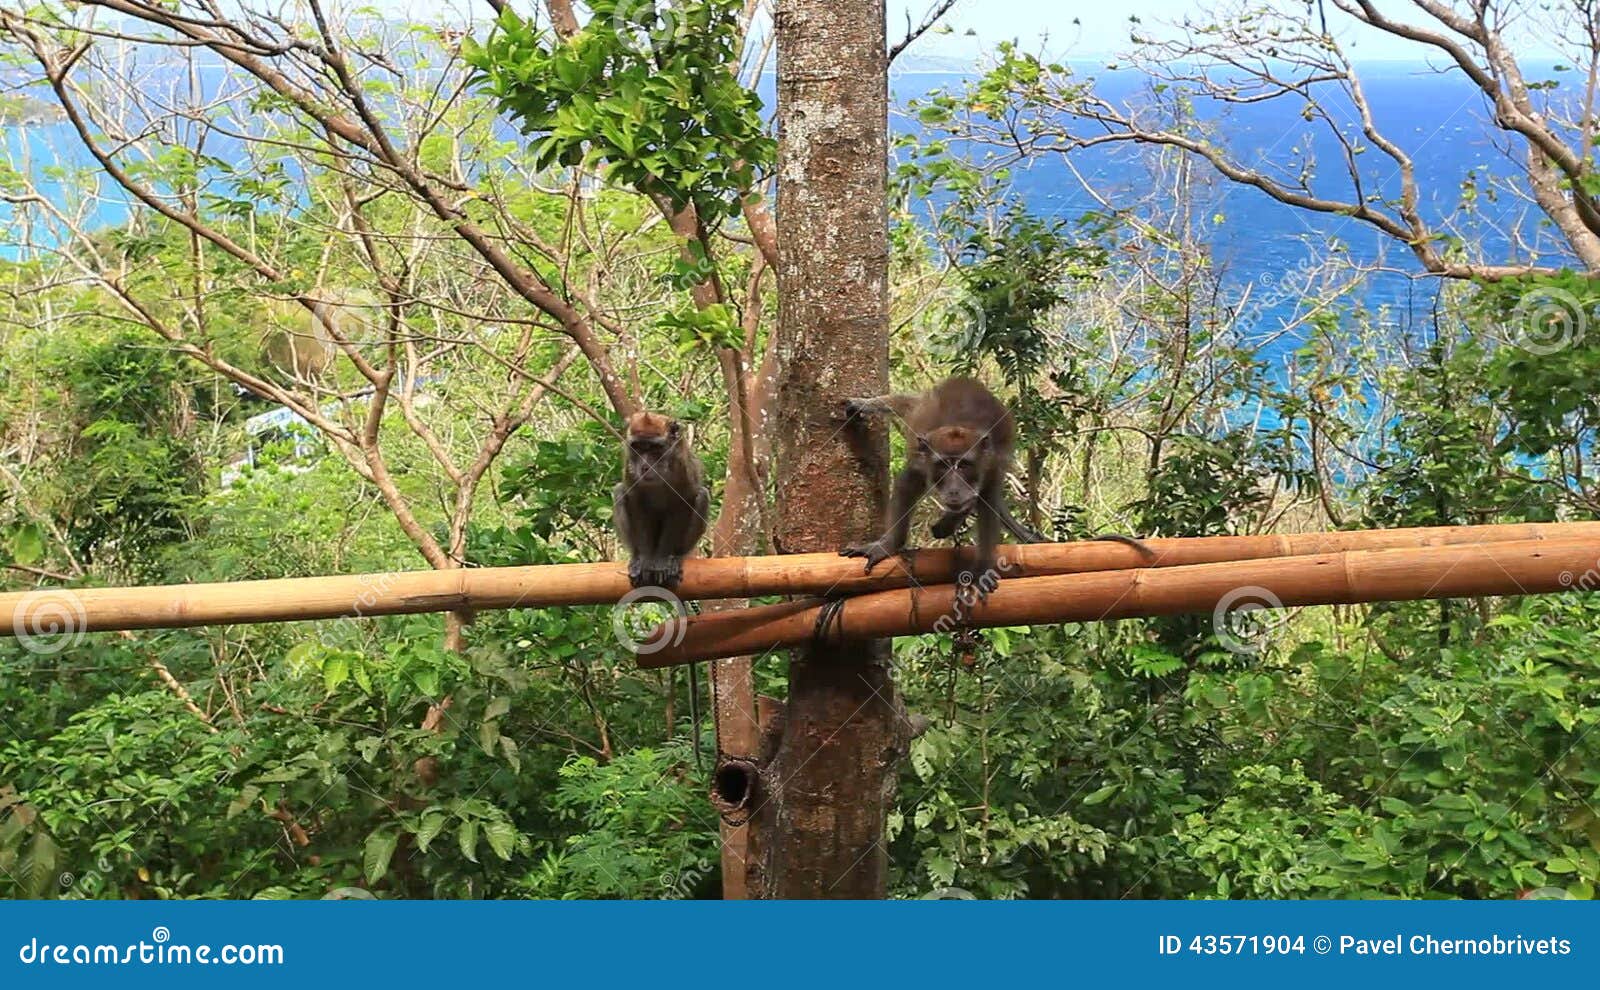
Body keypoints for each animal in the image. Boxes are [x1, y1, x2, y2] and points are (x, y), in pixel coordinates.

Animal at [614, 411, 710, 589]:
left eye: (655, 448)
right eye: (637, 447)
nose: (645, 466)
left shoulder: (680, 465)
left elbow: (681, 503)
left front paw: (663, 561)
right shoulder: (630, 467)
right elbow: (636, 502)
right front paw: (643, 559)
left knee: (702, 496)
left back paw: (676, 557)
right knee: (619, 492)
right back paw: (637, 556)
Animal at [841, 377, 1153, 592]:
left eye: (964, 466)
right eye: (944, 466)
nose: (953, 488)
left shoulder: (988, 466)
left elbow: (988, 502)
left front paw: (981, 567)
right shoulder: (922, 460)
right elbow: (906, 484)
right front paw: (887, 546)